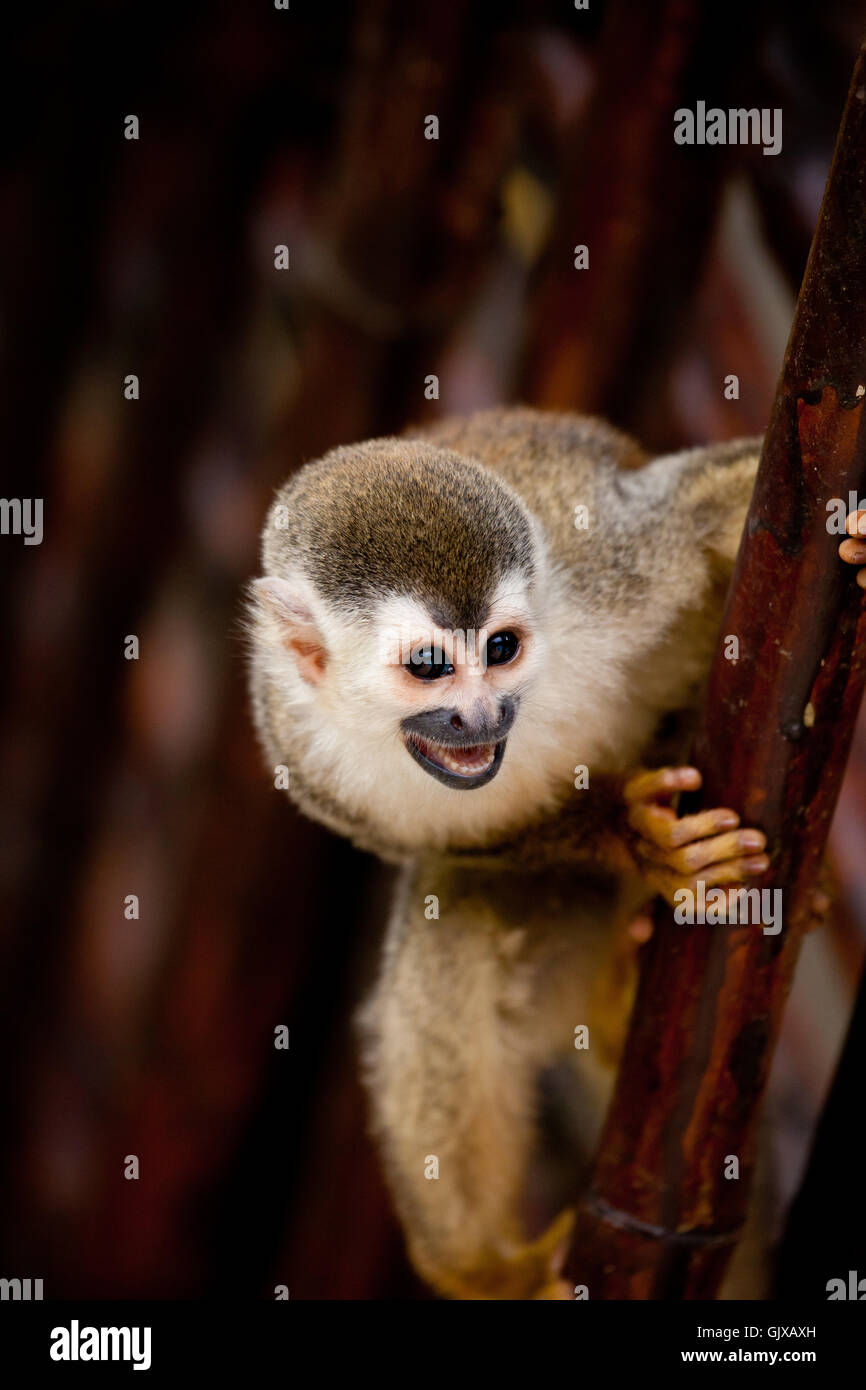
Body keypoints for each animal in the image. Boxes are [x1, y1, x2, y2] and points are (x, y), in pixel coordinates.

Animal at [247, 406, 866, 1301]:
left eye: (502, 649)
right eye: (430, 668)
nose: (481, 716)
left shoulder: (602, 565)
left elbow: (710, 511)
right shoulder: (298, 744)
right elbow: (464, 845)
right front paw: (628, 833)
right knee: (454, 903)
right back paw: (479, 1264)